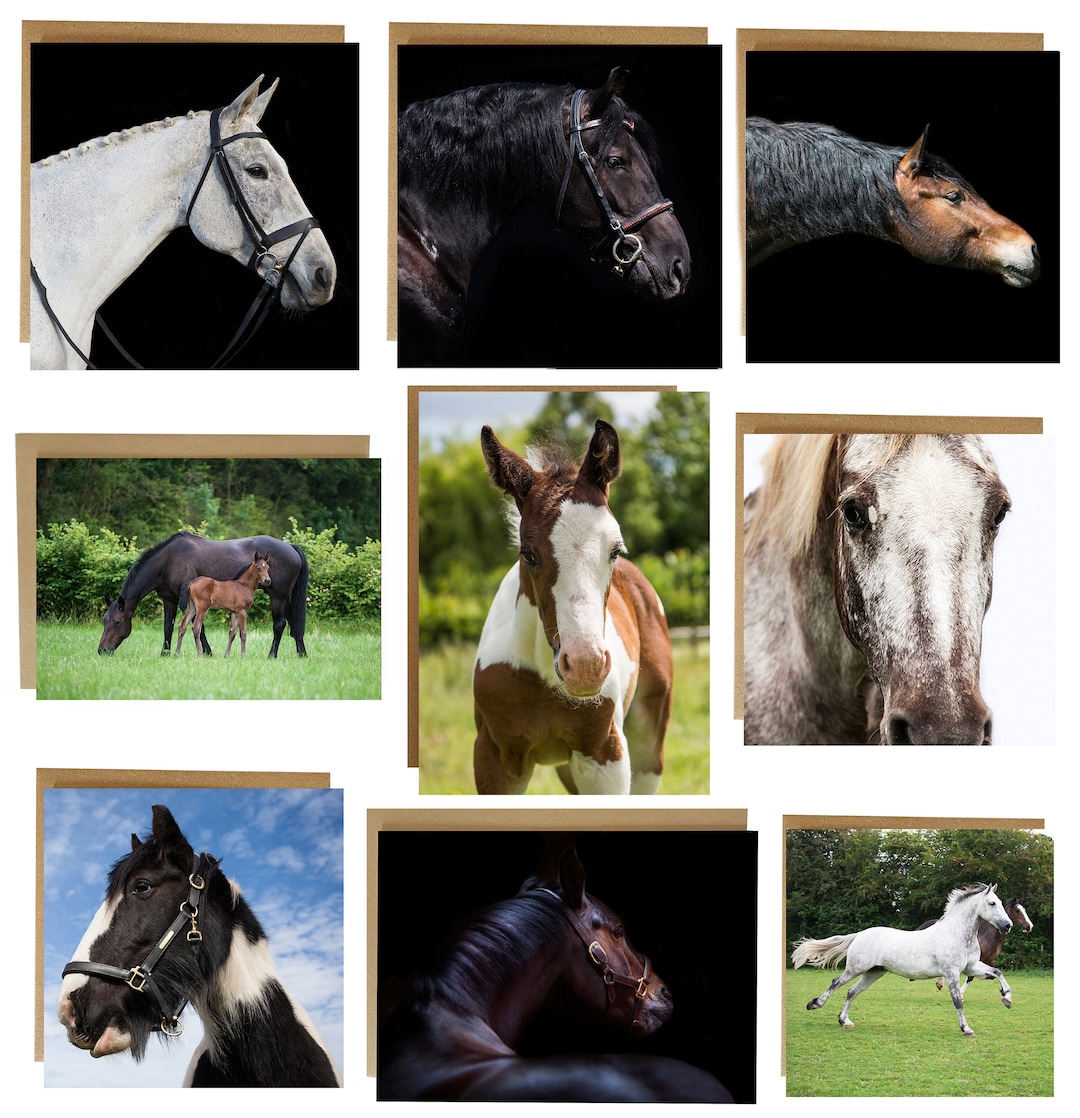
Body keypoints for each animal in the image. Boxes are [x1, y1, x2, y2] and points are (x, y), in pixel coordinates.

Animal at [98, 532, 308, 658]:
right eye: (104, 620)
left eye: (117, 622)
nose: (102, 650)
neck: (169, 560)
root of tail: (290, 546)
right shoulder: (169, 599)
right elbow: (168, 627)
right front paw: (165, 653)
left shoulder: (192, 602)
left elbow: (199, 627)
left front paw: (206, 652)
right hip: (284, 599)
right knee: (294, 624)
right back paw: (302, 653)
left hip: (277, 597)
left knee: (279, 625)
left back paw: (272, 655)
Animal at [473, 420, 673, 794]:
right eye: (528, 553)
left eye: (615, 550)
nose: (585, 666)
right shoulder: (495, 760)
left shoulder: (605, 755)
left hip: (647, 750)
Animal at [792, 882, 1014, 1037]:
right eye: (992, 903)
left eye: (1001, 903)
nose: (1008, 926)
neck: (956, 934)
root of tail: (860, 934)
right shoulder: (951, 973)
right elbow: (958, 1001)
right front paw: (966, 1029)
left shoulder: (971, 967)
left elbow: (997, 972)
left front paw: (1007, 999)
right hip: (856, 968)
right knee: (836, 983)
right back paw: (815, 1004)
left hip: (874, 972)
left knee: (852, 991)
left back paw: (844, 1021)